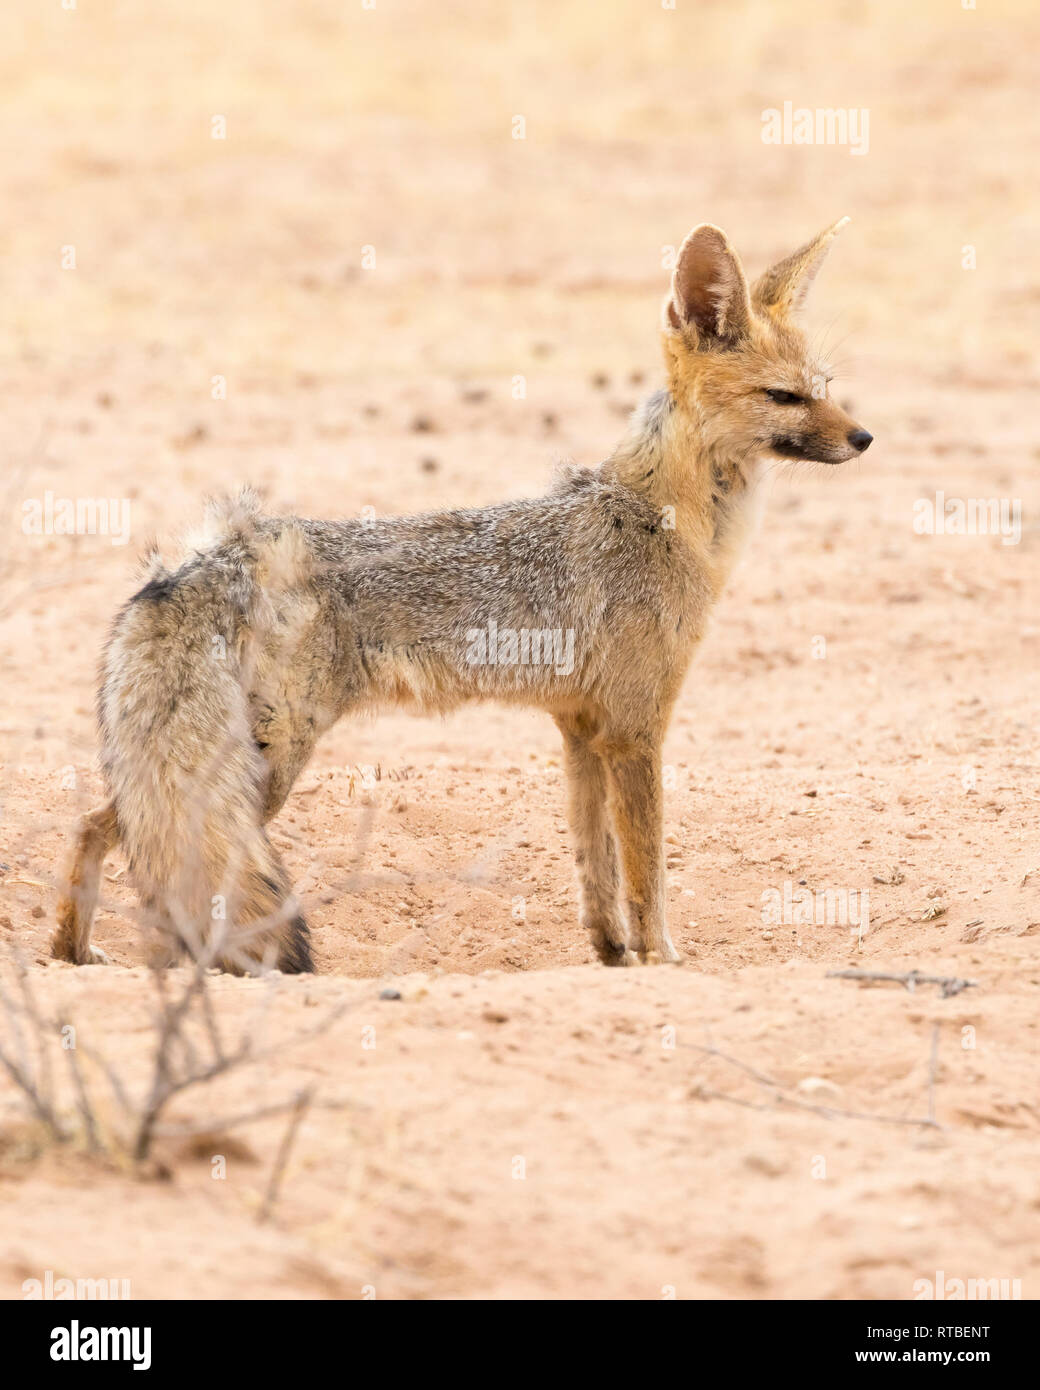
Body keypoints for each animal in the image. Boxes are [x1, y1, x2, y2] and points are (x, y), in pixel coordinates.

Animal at [54, 219, 867, 978]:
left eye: (824, 388)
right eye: (784, 397)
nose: (864, 438)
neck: (665, 520)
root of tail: (213, 553)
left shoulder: (582, 729)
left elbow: (596, 870)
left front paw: (612, 958)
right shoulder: (637, 730)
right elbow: (647, 873)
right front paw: (661, 961)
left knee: (95, 826)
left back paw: (72, 952)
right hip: (269, 762)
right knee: (131, 838)